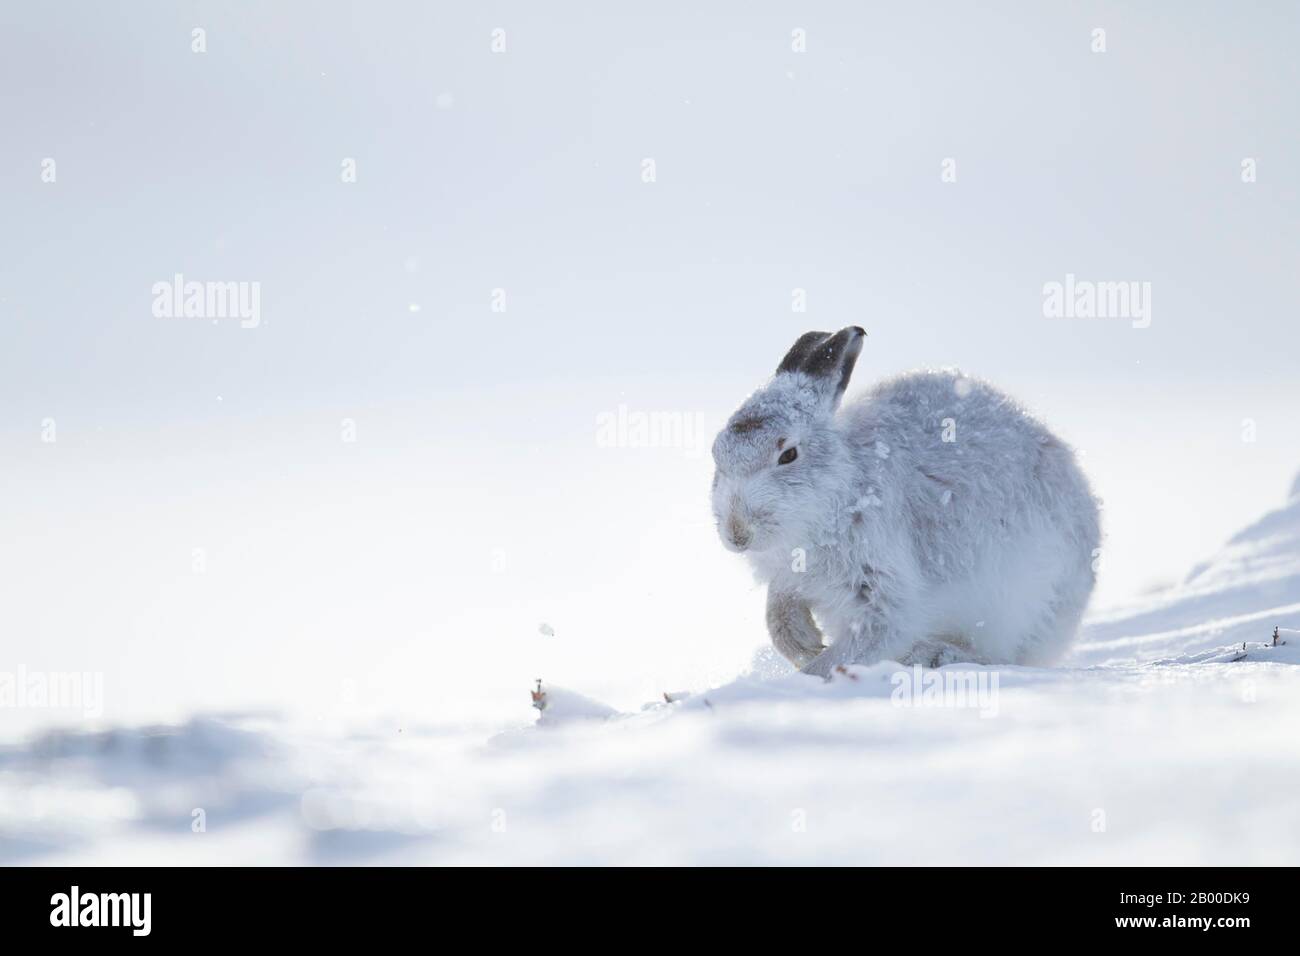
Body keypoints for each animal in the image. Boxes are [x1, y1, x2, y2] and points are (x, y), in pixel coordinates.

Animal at [711, 327, 1101, 676]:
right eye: (717, 455)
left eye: (788, 454)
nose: (736, 534)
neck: (838, 490)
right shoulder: (788, 574)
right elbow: (779, 605)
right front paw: (801, 642)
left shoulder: (882, 588)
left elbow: (869, 638)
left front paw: (803, 678)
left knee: (1005, 658)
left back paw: (936, 656)